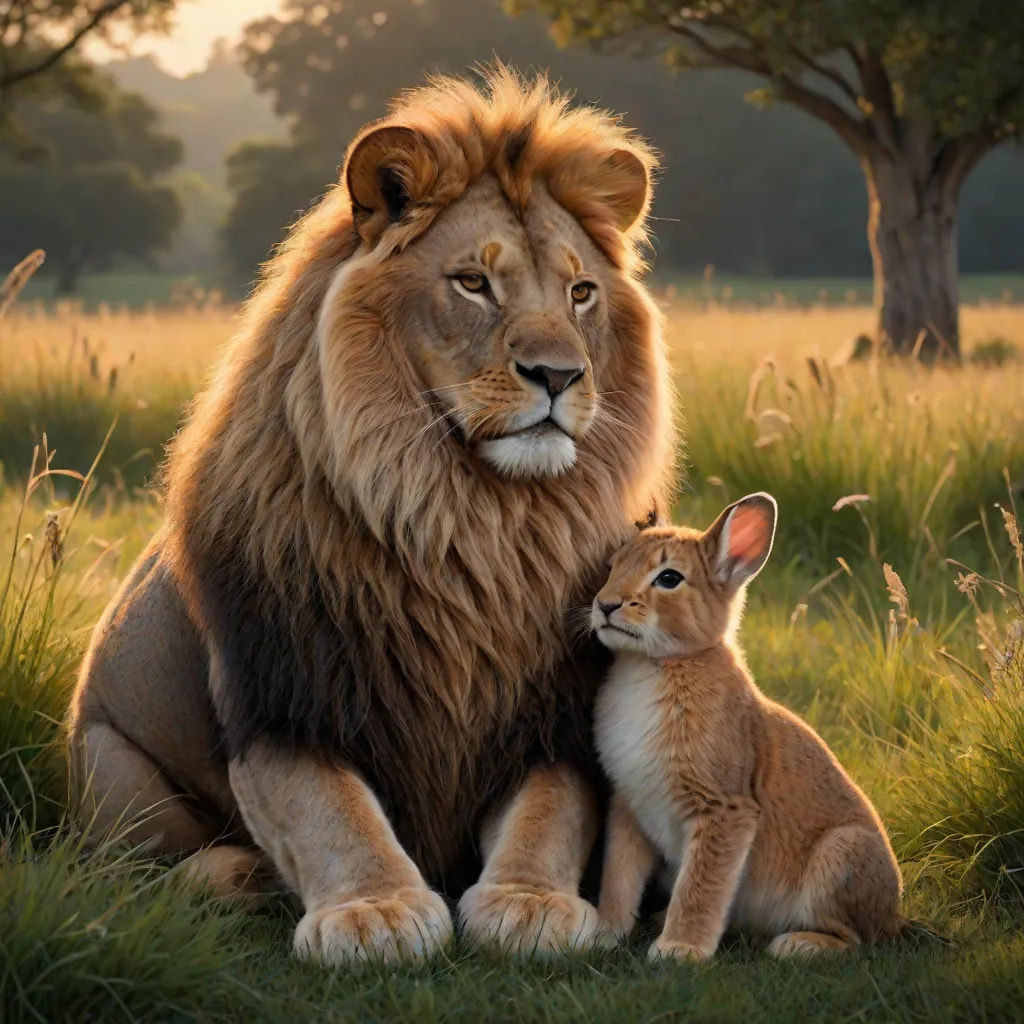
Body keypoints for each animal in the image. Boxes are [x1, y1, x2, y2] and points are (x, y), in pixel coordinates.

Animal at [67, 67, 677, 964]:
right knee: (136, 860)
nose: (560, 375)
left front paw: (529, 901)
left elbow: (551, 813)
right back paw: (238, 874)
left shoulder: (550, 718)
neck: (474, 524)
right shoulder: (284, 699)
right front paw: (376, 911)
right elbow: (331, 812)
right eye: (472, 283)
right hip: (110, 760)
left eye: (580, 293)